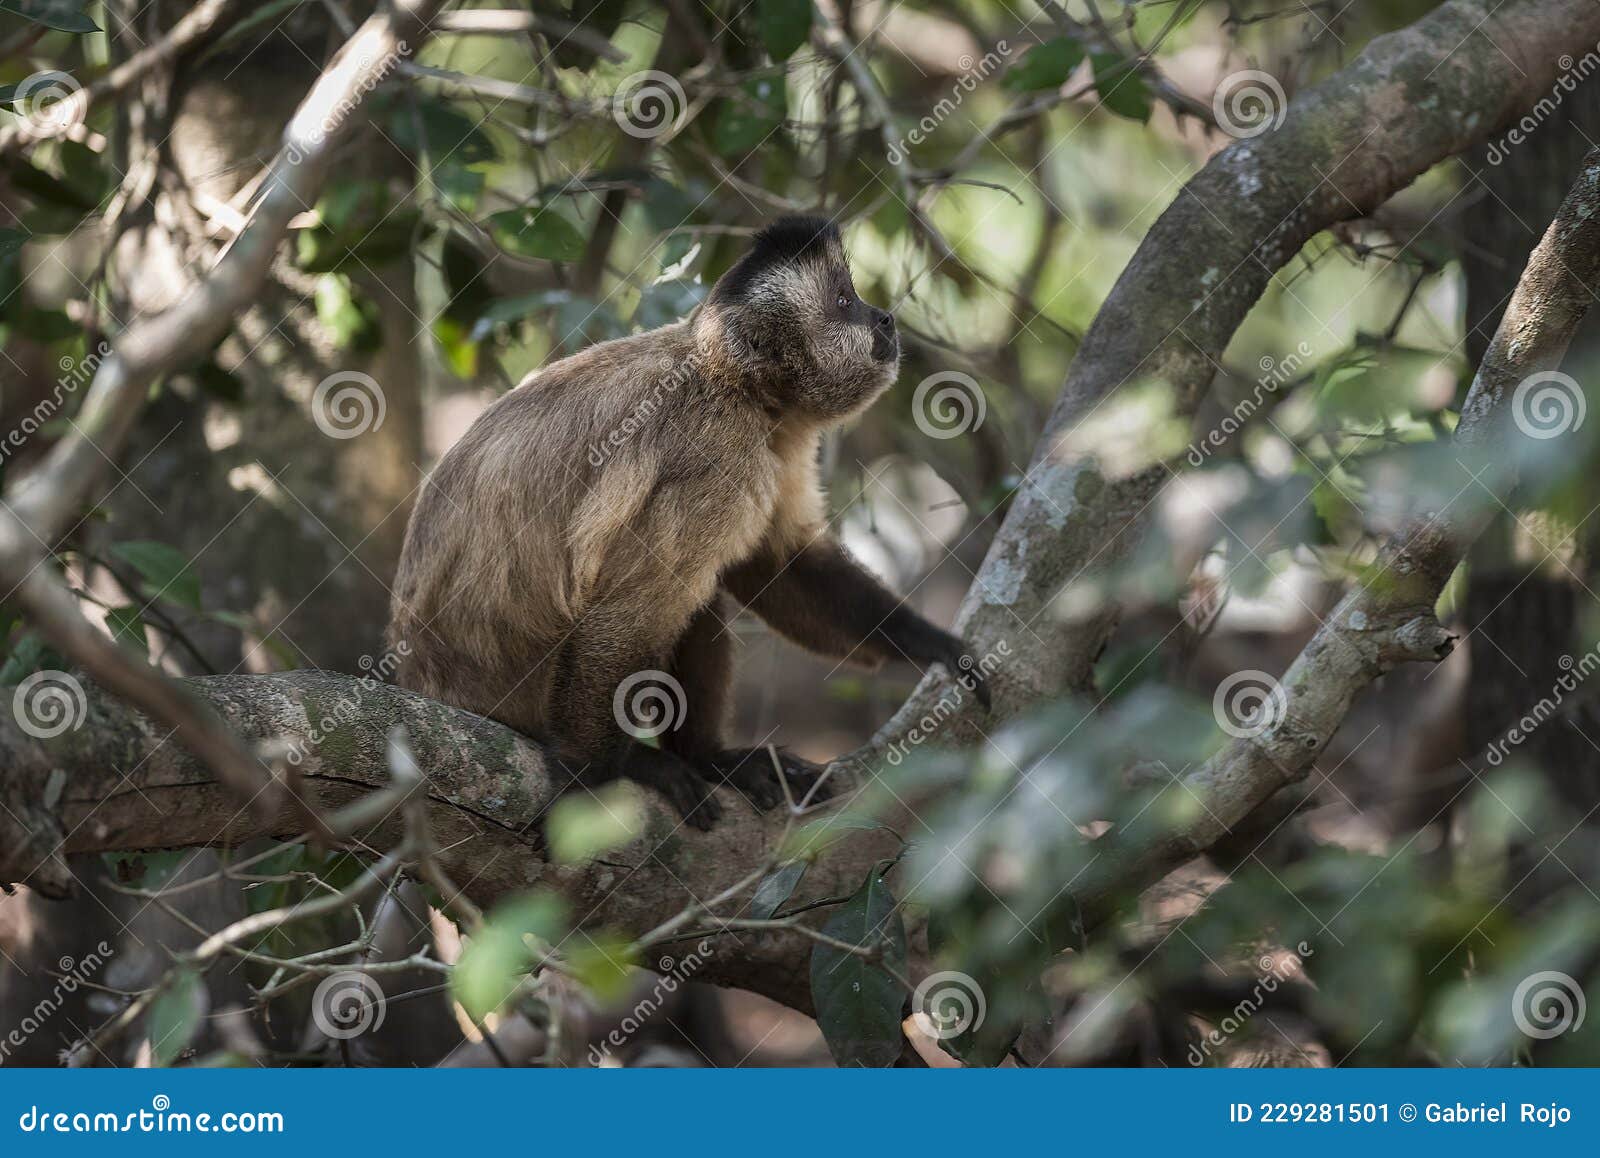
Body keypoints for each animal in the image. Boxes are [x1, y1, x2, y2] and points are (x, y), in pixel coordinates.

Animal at [387, 215, 988, 829]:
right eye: (845, 302)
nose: (883, 317)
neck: (738, 387)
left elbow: (777, 565)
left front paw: (926, 641)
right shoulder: (713, 454)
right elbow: (624, 614)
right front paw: (588, 777)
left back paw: (710, 758)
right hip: (517, 696)